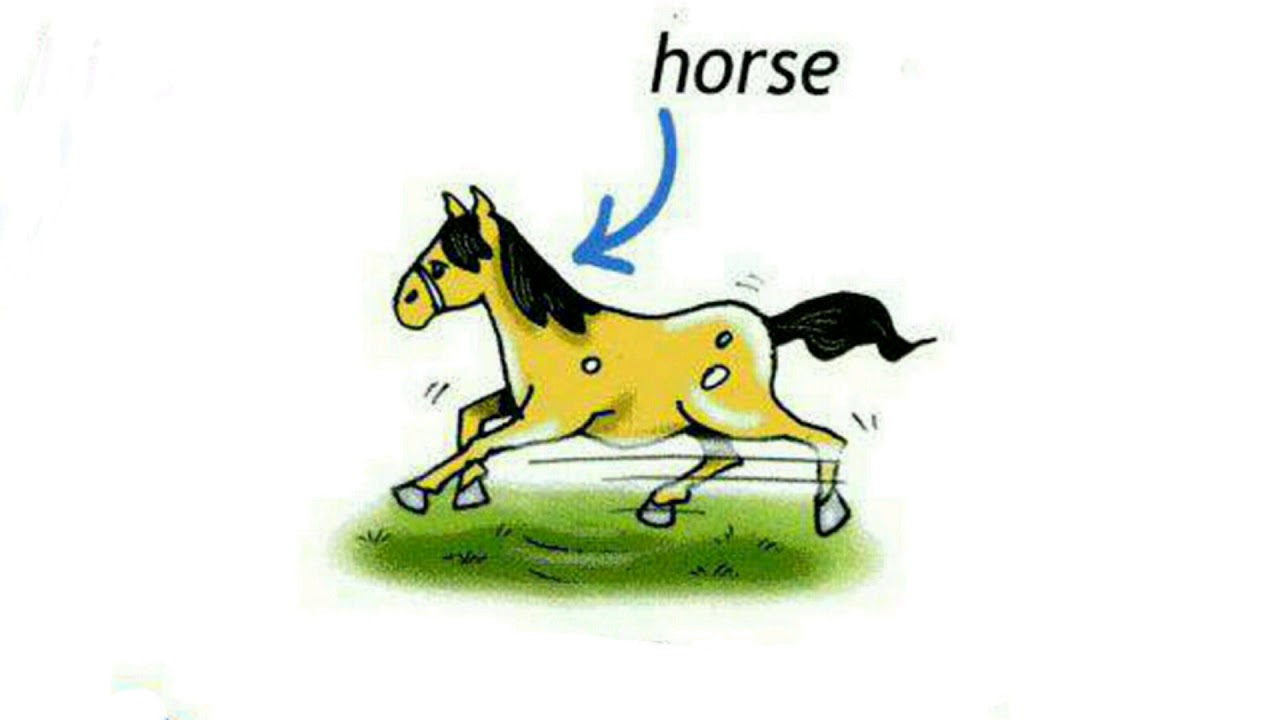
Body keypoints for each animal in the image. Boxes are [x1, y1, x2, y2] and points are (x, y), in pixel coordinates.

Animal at [390, 186, 934, 536]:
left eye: (443, 261)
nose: (404, 305)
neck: (549, 331)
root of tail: (766, 325)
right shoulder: (519, 405)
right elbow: (471, 419)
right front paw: (468, 492)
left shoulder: (551, 420)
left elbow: (480, 441)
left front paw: (416, 491)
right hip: (702, 420)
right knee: (725, 457)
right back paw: (658, 505)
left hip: (739, 412)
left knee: (825, 439)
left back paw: (827, 514)